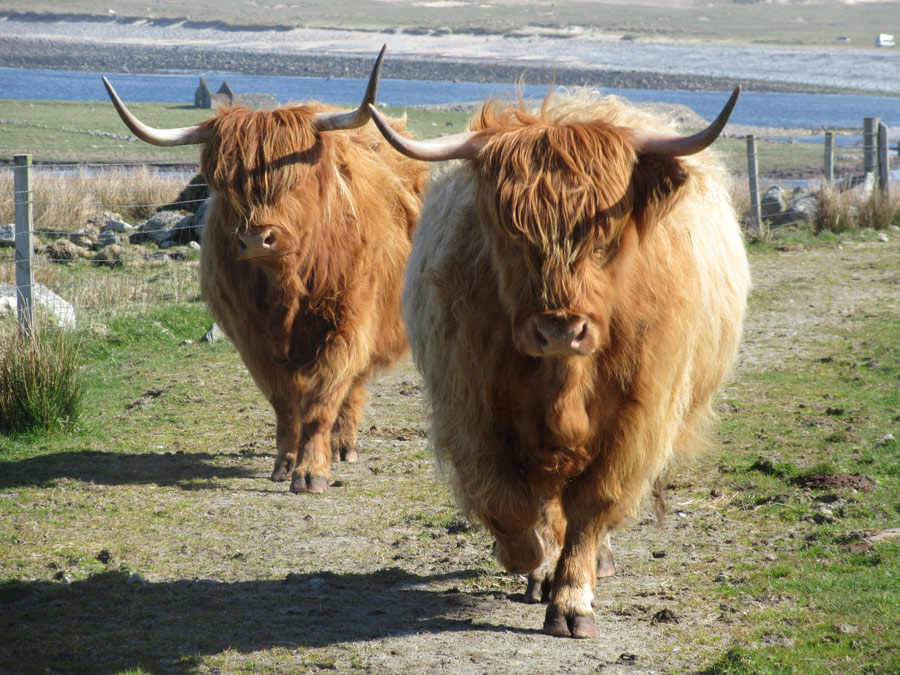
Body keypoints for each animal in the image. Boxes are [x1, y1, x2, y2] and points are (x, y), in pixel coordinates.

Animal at [104, 48, 428, 494]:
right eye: (223, 182)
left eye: (294, 179)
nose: (257, 240)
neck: (287, 284)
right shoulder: (251, 335)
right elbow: (284, 402)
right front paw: (286, 464)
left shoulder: (349, 323)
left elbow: (324, 398)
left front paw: (312, 472)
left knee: (353, 386)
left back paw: (344, 445)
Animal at [366, 87, 750, 636]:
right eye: (510, 234)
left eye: (606, 232)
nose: (560, 330)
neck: (565, 380)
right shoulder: (474, 412)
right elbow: (506, 501)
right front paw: (528, 559)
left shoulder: (634, 420)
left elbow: (592, 505)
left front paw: (571, 600)